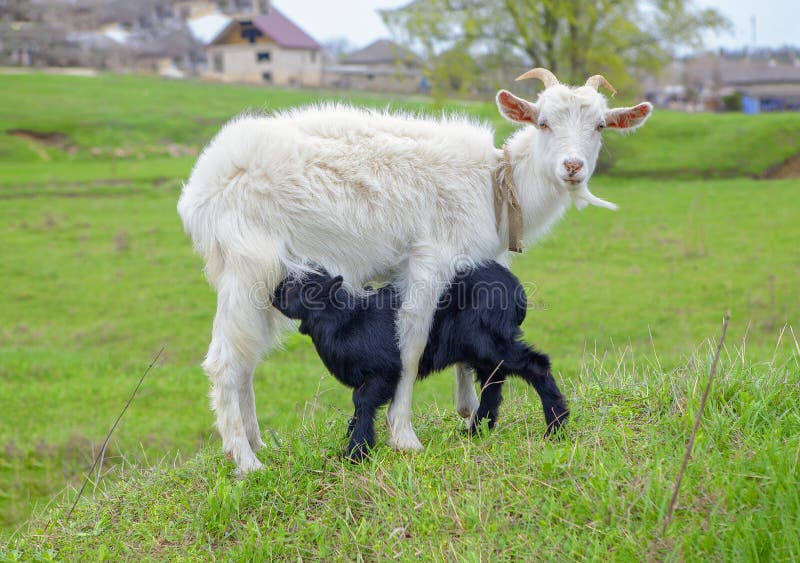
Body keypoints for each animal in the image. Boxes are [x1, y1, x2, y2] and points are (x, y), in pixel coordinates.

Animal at [272, 262, 568, 461]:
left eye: (299, 285)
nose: (274, 292)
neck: (348, 319)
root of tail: (515, 289)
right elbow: (358, 405)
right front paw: (354, 439)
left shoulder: (384, 371)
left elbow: (362, 402)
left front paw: (356, 452)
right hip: (482, 347)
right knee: (493, 381)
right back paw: (477, 430)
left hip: (490, 341)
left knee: (536, 366)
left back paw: (556, 427)